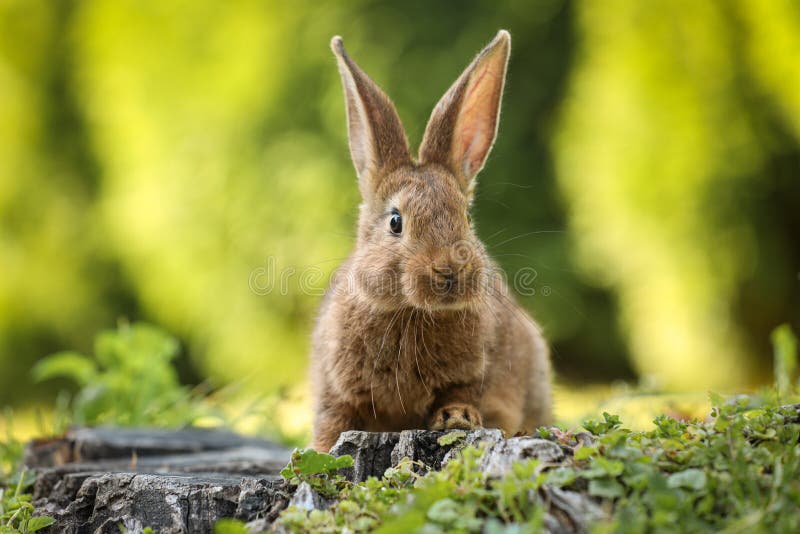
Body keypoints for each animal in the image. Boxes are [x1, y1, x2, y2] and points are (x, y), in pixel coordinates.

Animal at [310, 30, 552, 451]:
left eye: (466, 218)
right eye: (395, 222)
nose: (450, 272)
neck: (411, 313)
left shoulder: (476, 373)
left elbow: (460, 393)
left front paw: (457, 418)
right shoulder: (335, 389)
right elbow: (333, 424)